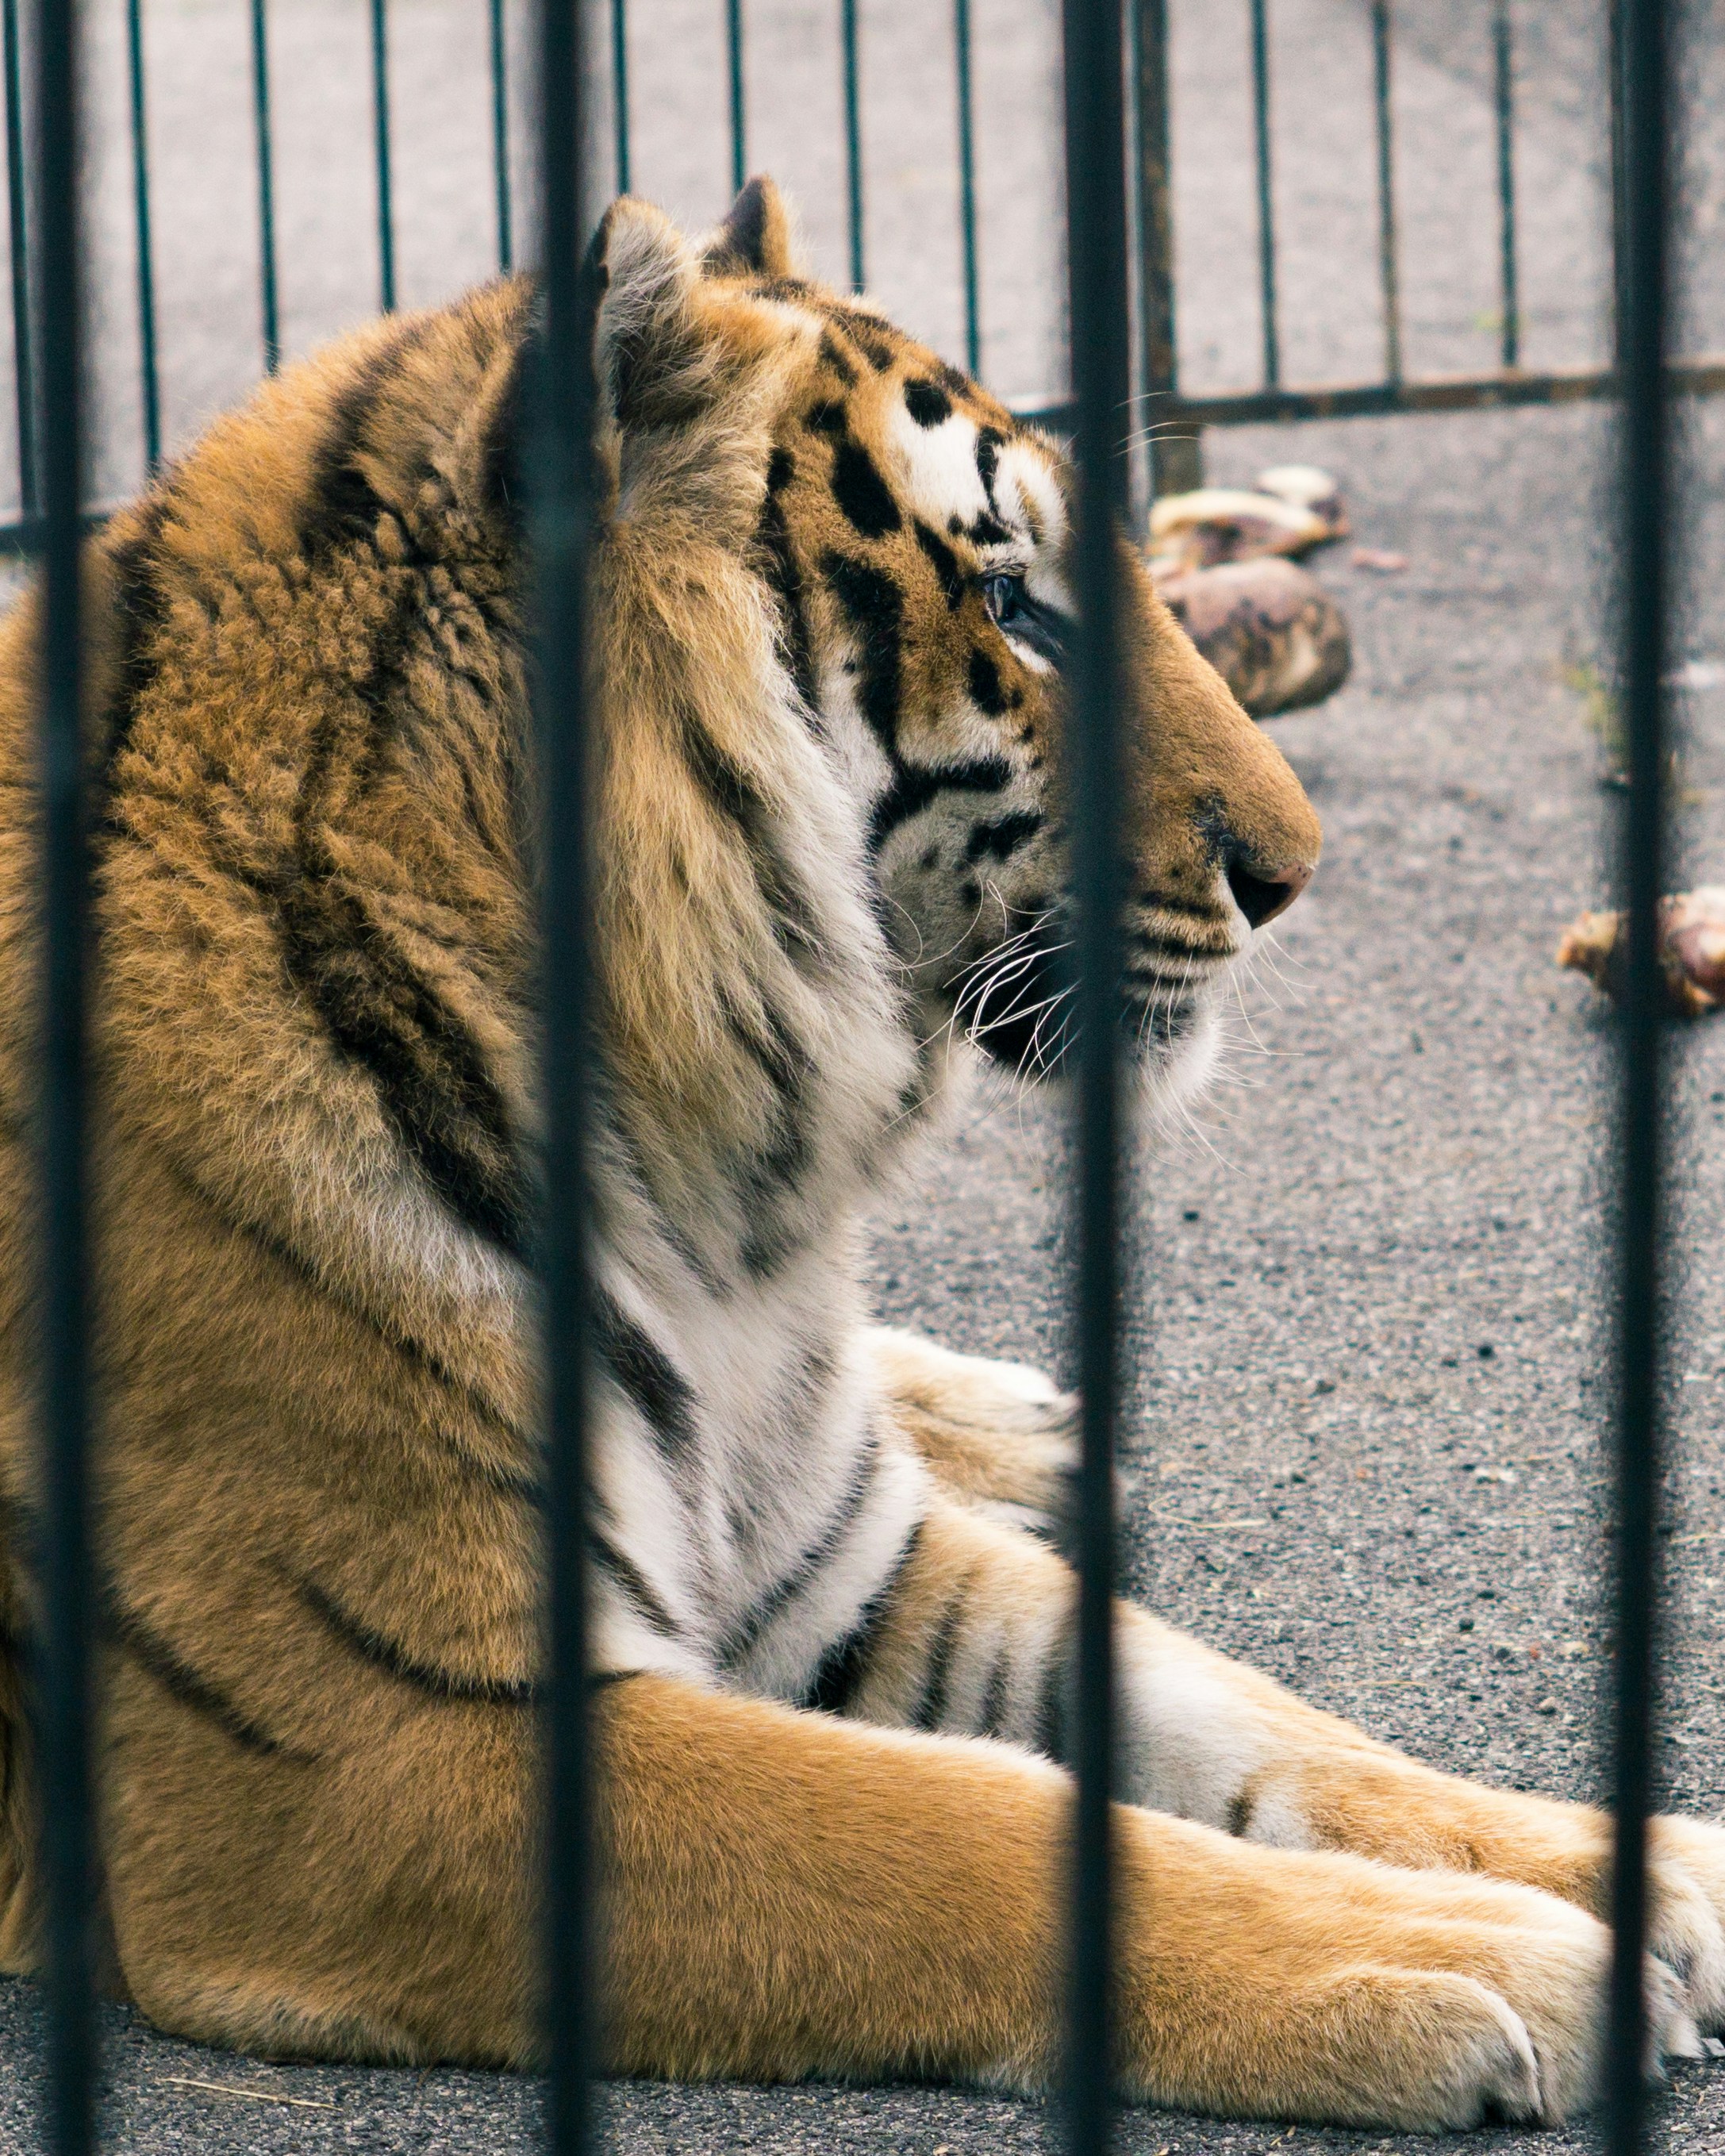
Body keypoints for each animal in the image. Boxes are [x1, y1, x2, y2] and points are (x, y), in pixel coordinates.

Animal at [0, 175, 1720, 2131]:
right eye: (1014, 602)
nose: (1293, 872)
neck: (720, 1201)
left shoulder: (854, 1570)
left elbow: (1231, 1704)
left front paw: (1632, 1863)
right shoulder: (380, 1743)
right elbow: (983, 1830)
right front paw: (1492, 1950)